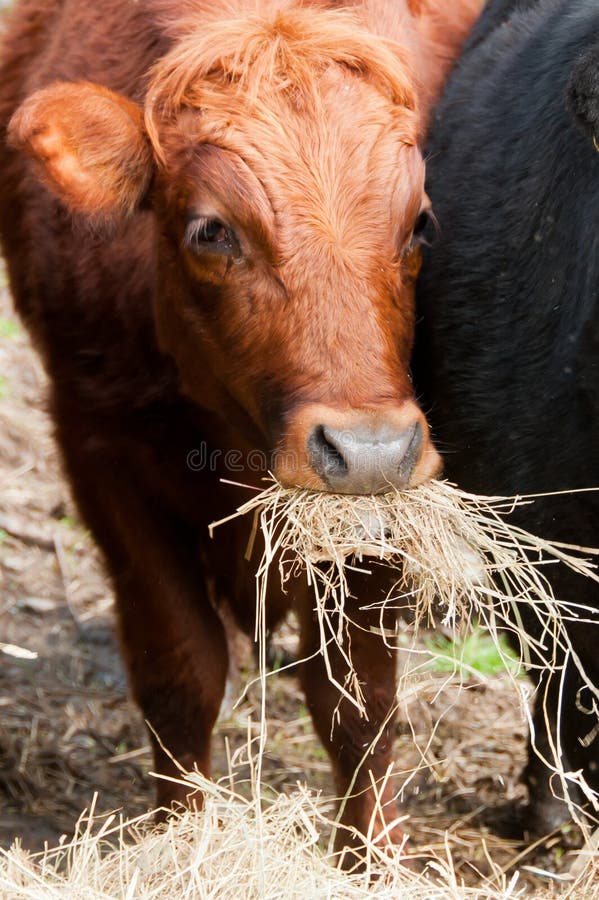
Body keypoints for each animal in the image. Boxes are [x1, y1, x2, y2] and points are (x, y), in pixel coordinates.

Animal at [0, 0, 483, 861]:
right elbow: (180, 672)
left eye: (421, 224)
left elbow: (358, 695)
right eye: (211, 231)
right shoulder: (97, 446)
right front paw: (181, 838)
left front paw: (372, 857)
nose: (365, 449)